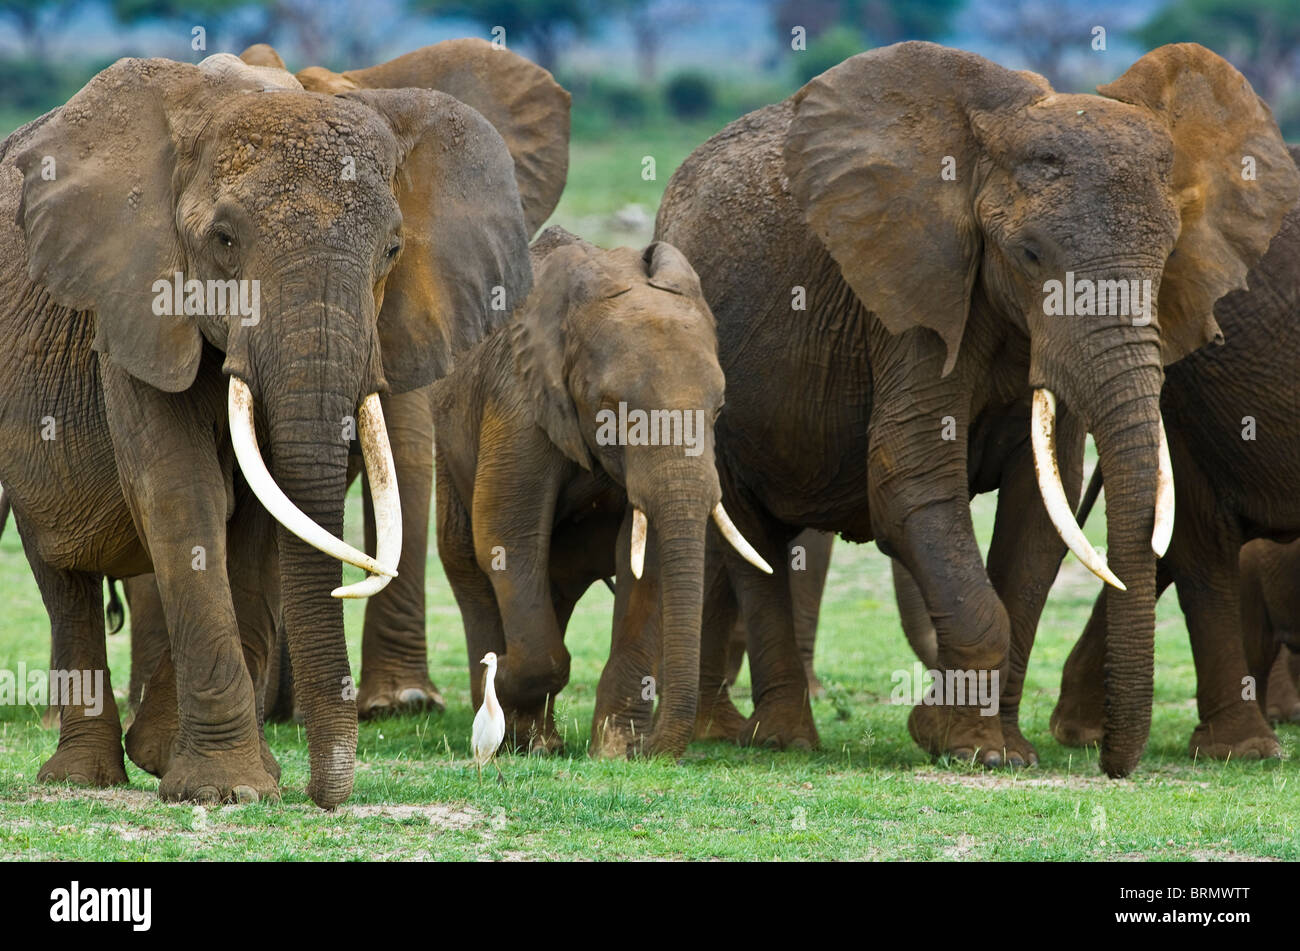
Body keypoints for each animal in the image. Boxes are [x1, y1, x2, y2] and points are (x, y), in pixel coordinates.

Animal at [434, 226, 768, 757]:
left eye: (718, 410)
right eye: (614, 410)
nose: (653, 750)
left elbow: (645, 556)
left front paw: (618, 750)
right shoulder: (519, 401)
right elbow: (508, 536)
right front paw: (503, 678)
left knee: (557, 584)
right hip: (448, 452)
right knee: (467, 561)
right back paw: (519, 728)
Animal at [652, 40, 1298, 773]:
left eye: (1166, 258)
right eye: (1029, 255)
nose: (1112, 764)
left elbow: (1039, 510)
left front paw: (996, 746)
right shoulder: (911, 296)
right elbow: (909, 482)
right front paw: (962, 746)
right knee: (752, 538)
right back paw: (782, 740)